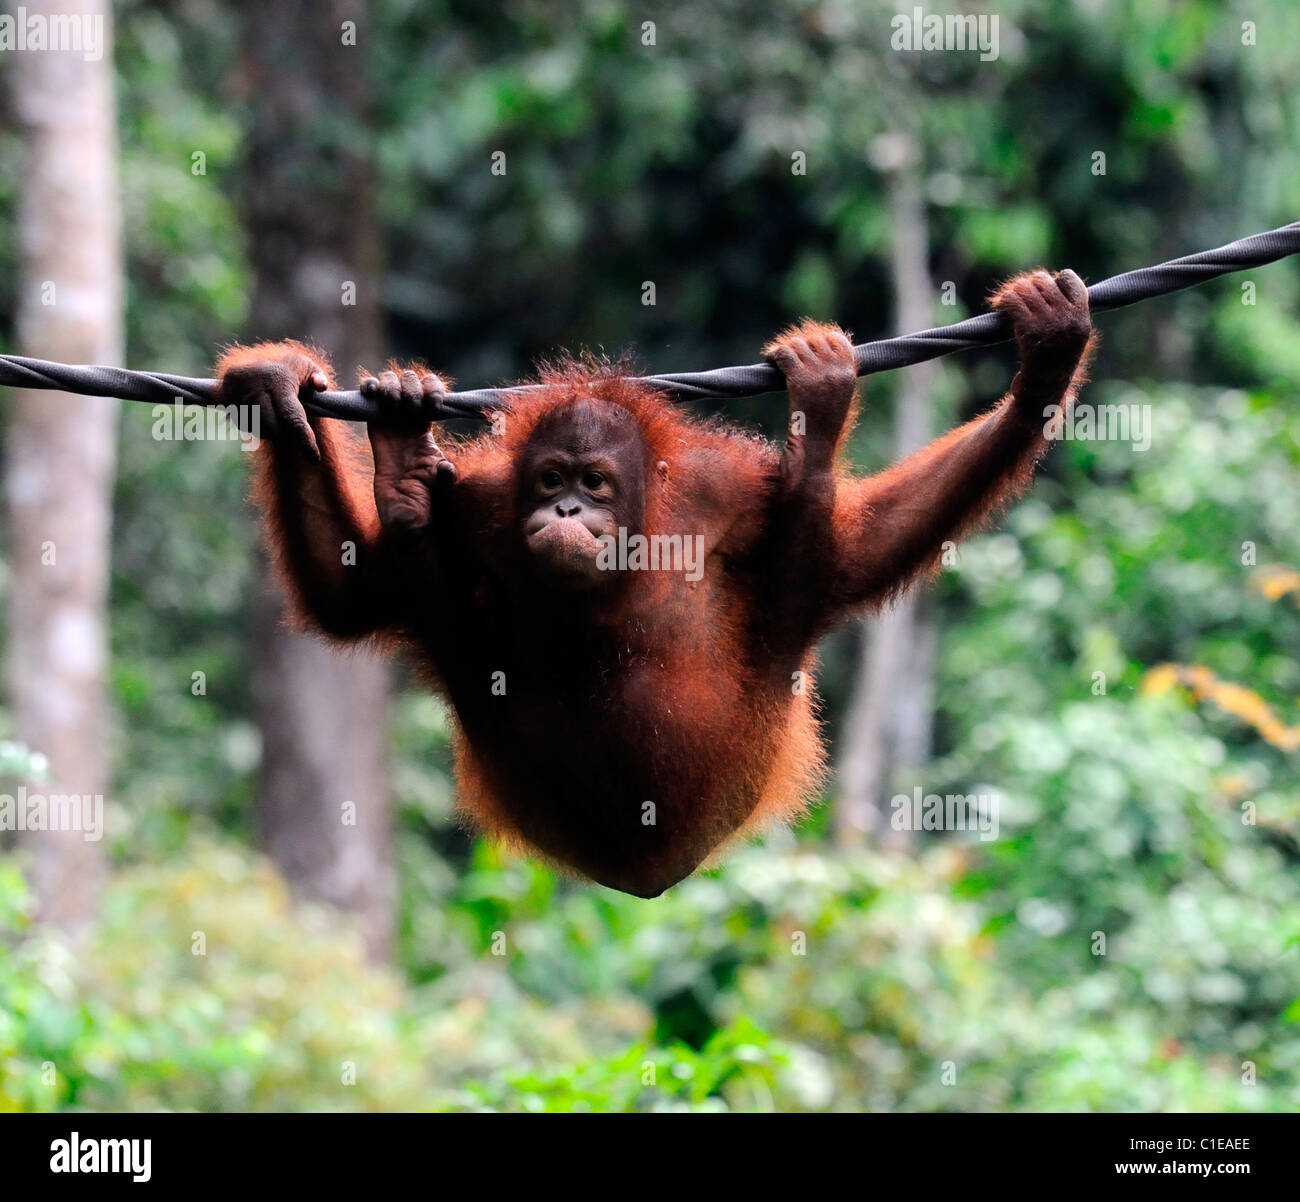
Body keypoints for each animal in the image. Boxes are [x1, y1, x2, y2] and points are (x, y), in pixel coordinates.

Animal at [217, 268, 1093, 897]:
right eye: (550, 479)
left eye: (596, 483)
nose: (567, 507)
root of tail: (648, 880)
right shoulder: (480, 505)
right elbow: (353, 595)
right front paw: (275, 385)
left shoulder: (724, 493)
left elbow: (860, 549)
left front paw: (1047, 361)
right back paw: (402, 479)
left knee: (801, 583)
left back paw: (818, 429)